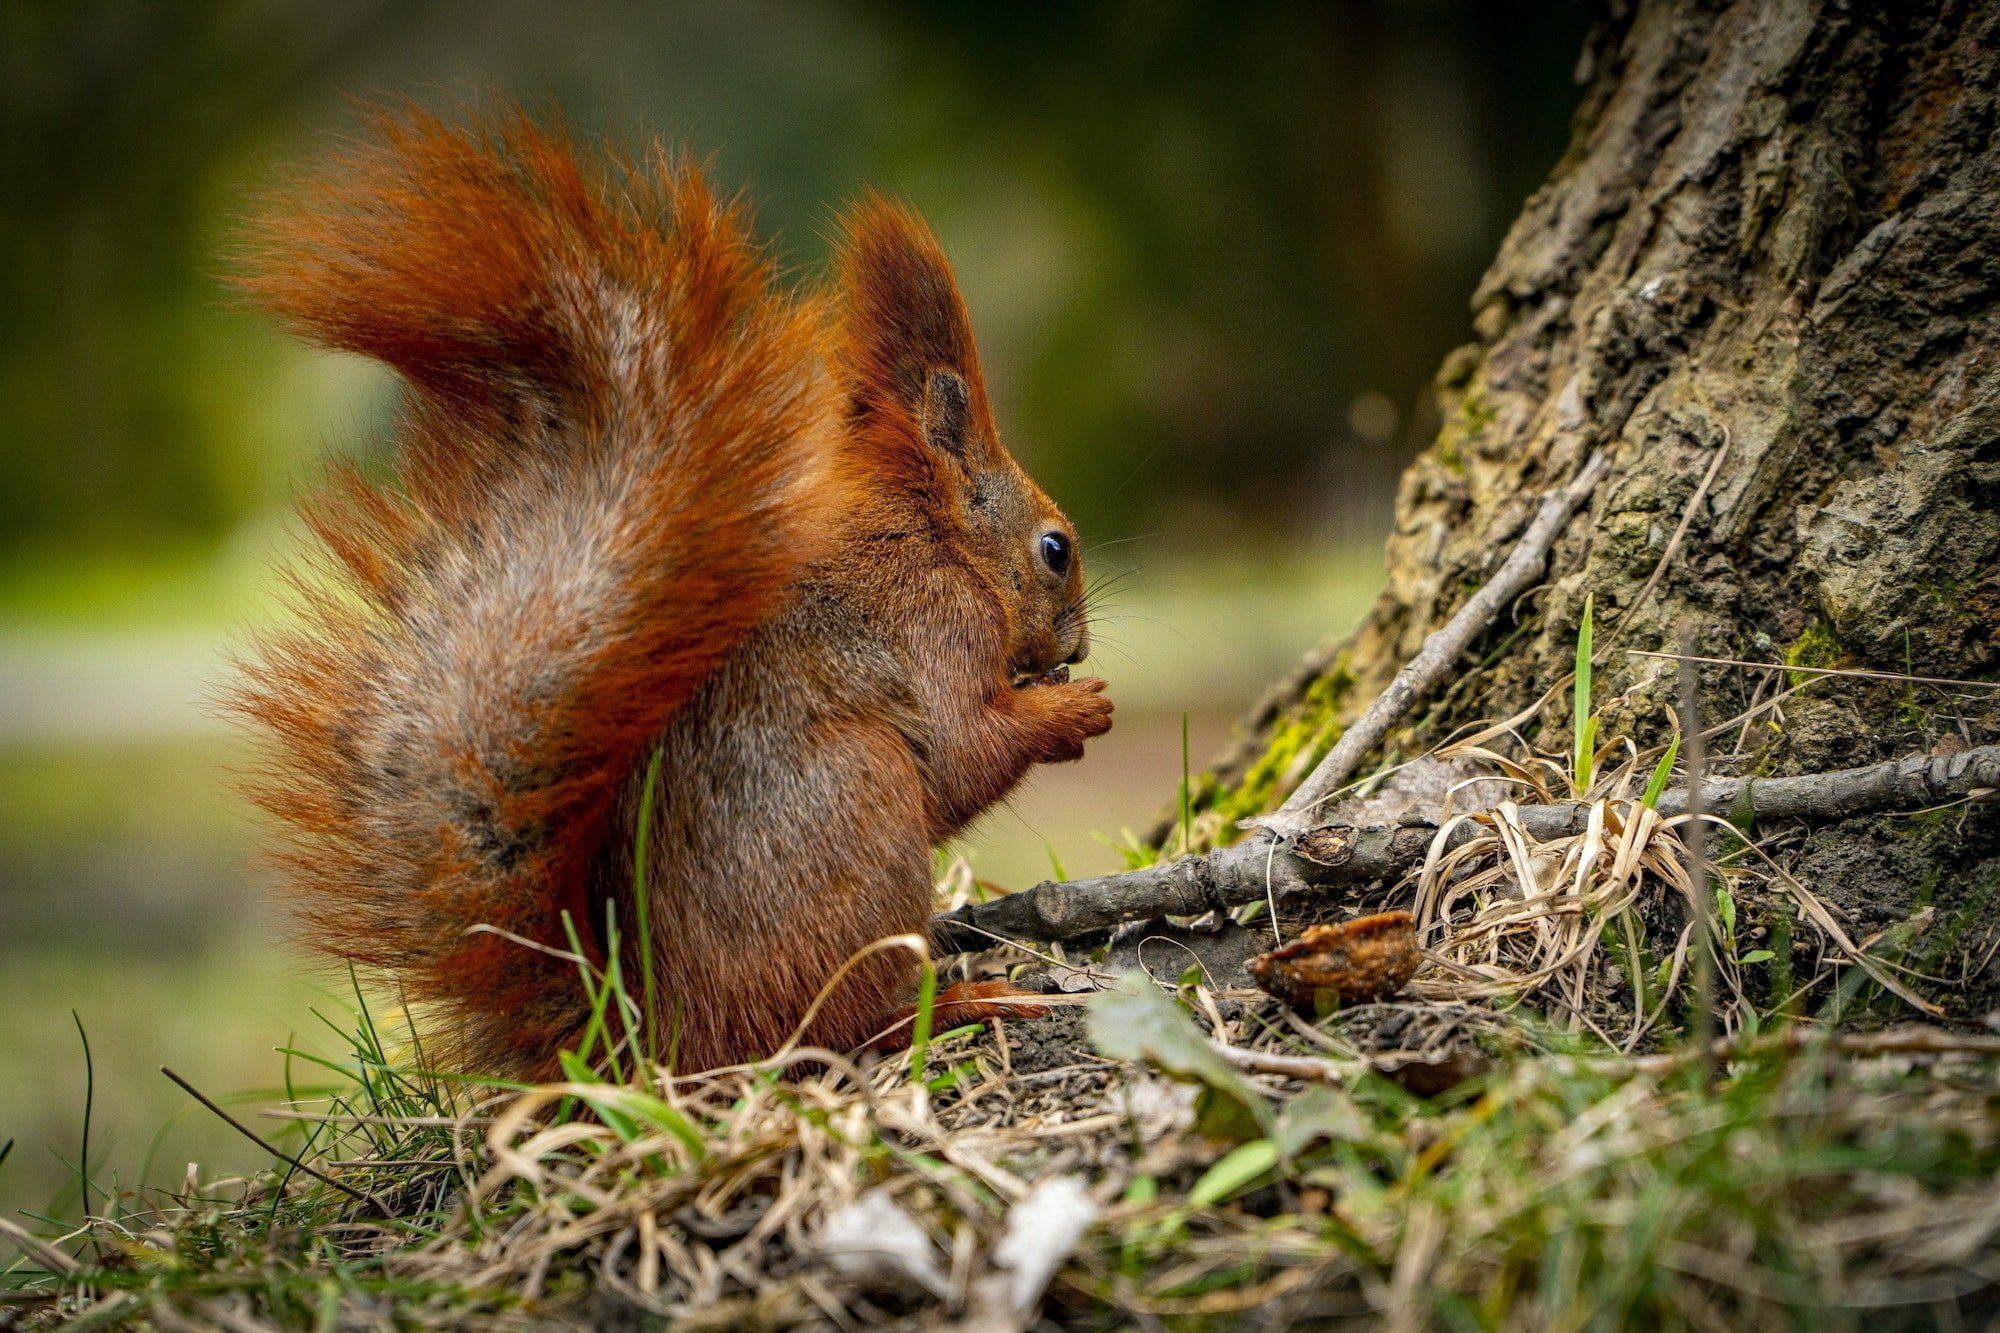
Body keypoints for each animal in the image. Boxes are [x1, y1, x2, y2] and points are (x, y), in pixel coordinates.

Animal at [228, 106, 1113, 1080]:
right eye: (1056, 549)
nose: (1076, 645)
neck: (938, 544)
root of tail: (657, 1040)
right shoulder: (937, 627)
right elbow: (963, 751)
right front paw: (1074, 712)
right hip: (860, 813)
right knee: (843, 1030)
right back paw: (960, 1001)